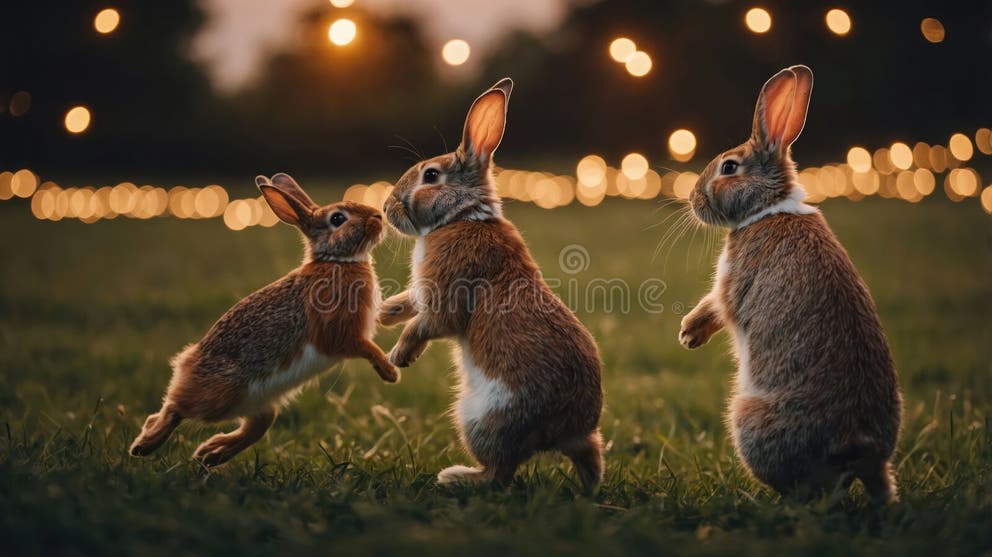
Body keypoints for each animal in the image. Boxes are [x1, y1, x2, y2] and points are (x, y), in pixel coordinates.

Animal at [130, 173, 398, 466]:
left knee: (252, 428)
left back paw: (210, 453)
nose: (377, 216)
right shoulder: (339, 331)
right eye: (338, 218)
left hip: (259, 406)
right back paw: (145, 445)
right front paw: (390, 372)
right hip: (220, 395)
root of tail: (187, 362)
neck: (338, 261)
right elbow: (365, 347)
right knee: (175, 408)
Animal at [379, 78, 605, 493]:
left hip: (478, 418)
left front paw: (398, 357)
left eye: (430, 176)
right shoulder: (424, 290)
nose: (387, 209)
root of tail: (558, 431)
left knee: (499, 471)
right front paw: (384, 315)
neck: (462, 216)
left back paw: (453, 477)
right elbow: (409, 303)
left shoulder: (447, 297)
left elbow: (424, 325)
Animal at [677, 65, 902, 504]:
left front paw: (688, 333)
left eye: (729, 168)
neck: (768, 206)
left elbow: (716, 304)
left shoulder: (731, 282)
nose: (693, 200)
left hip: (747, 420)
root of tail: (856, 446)